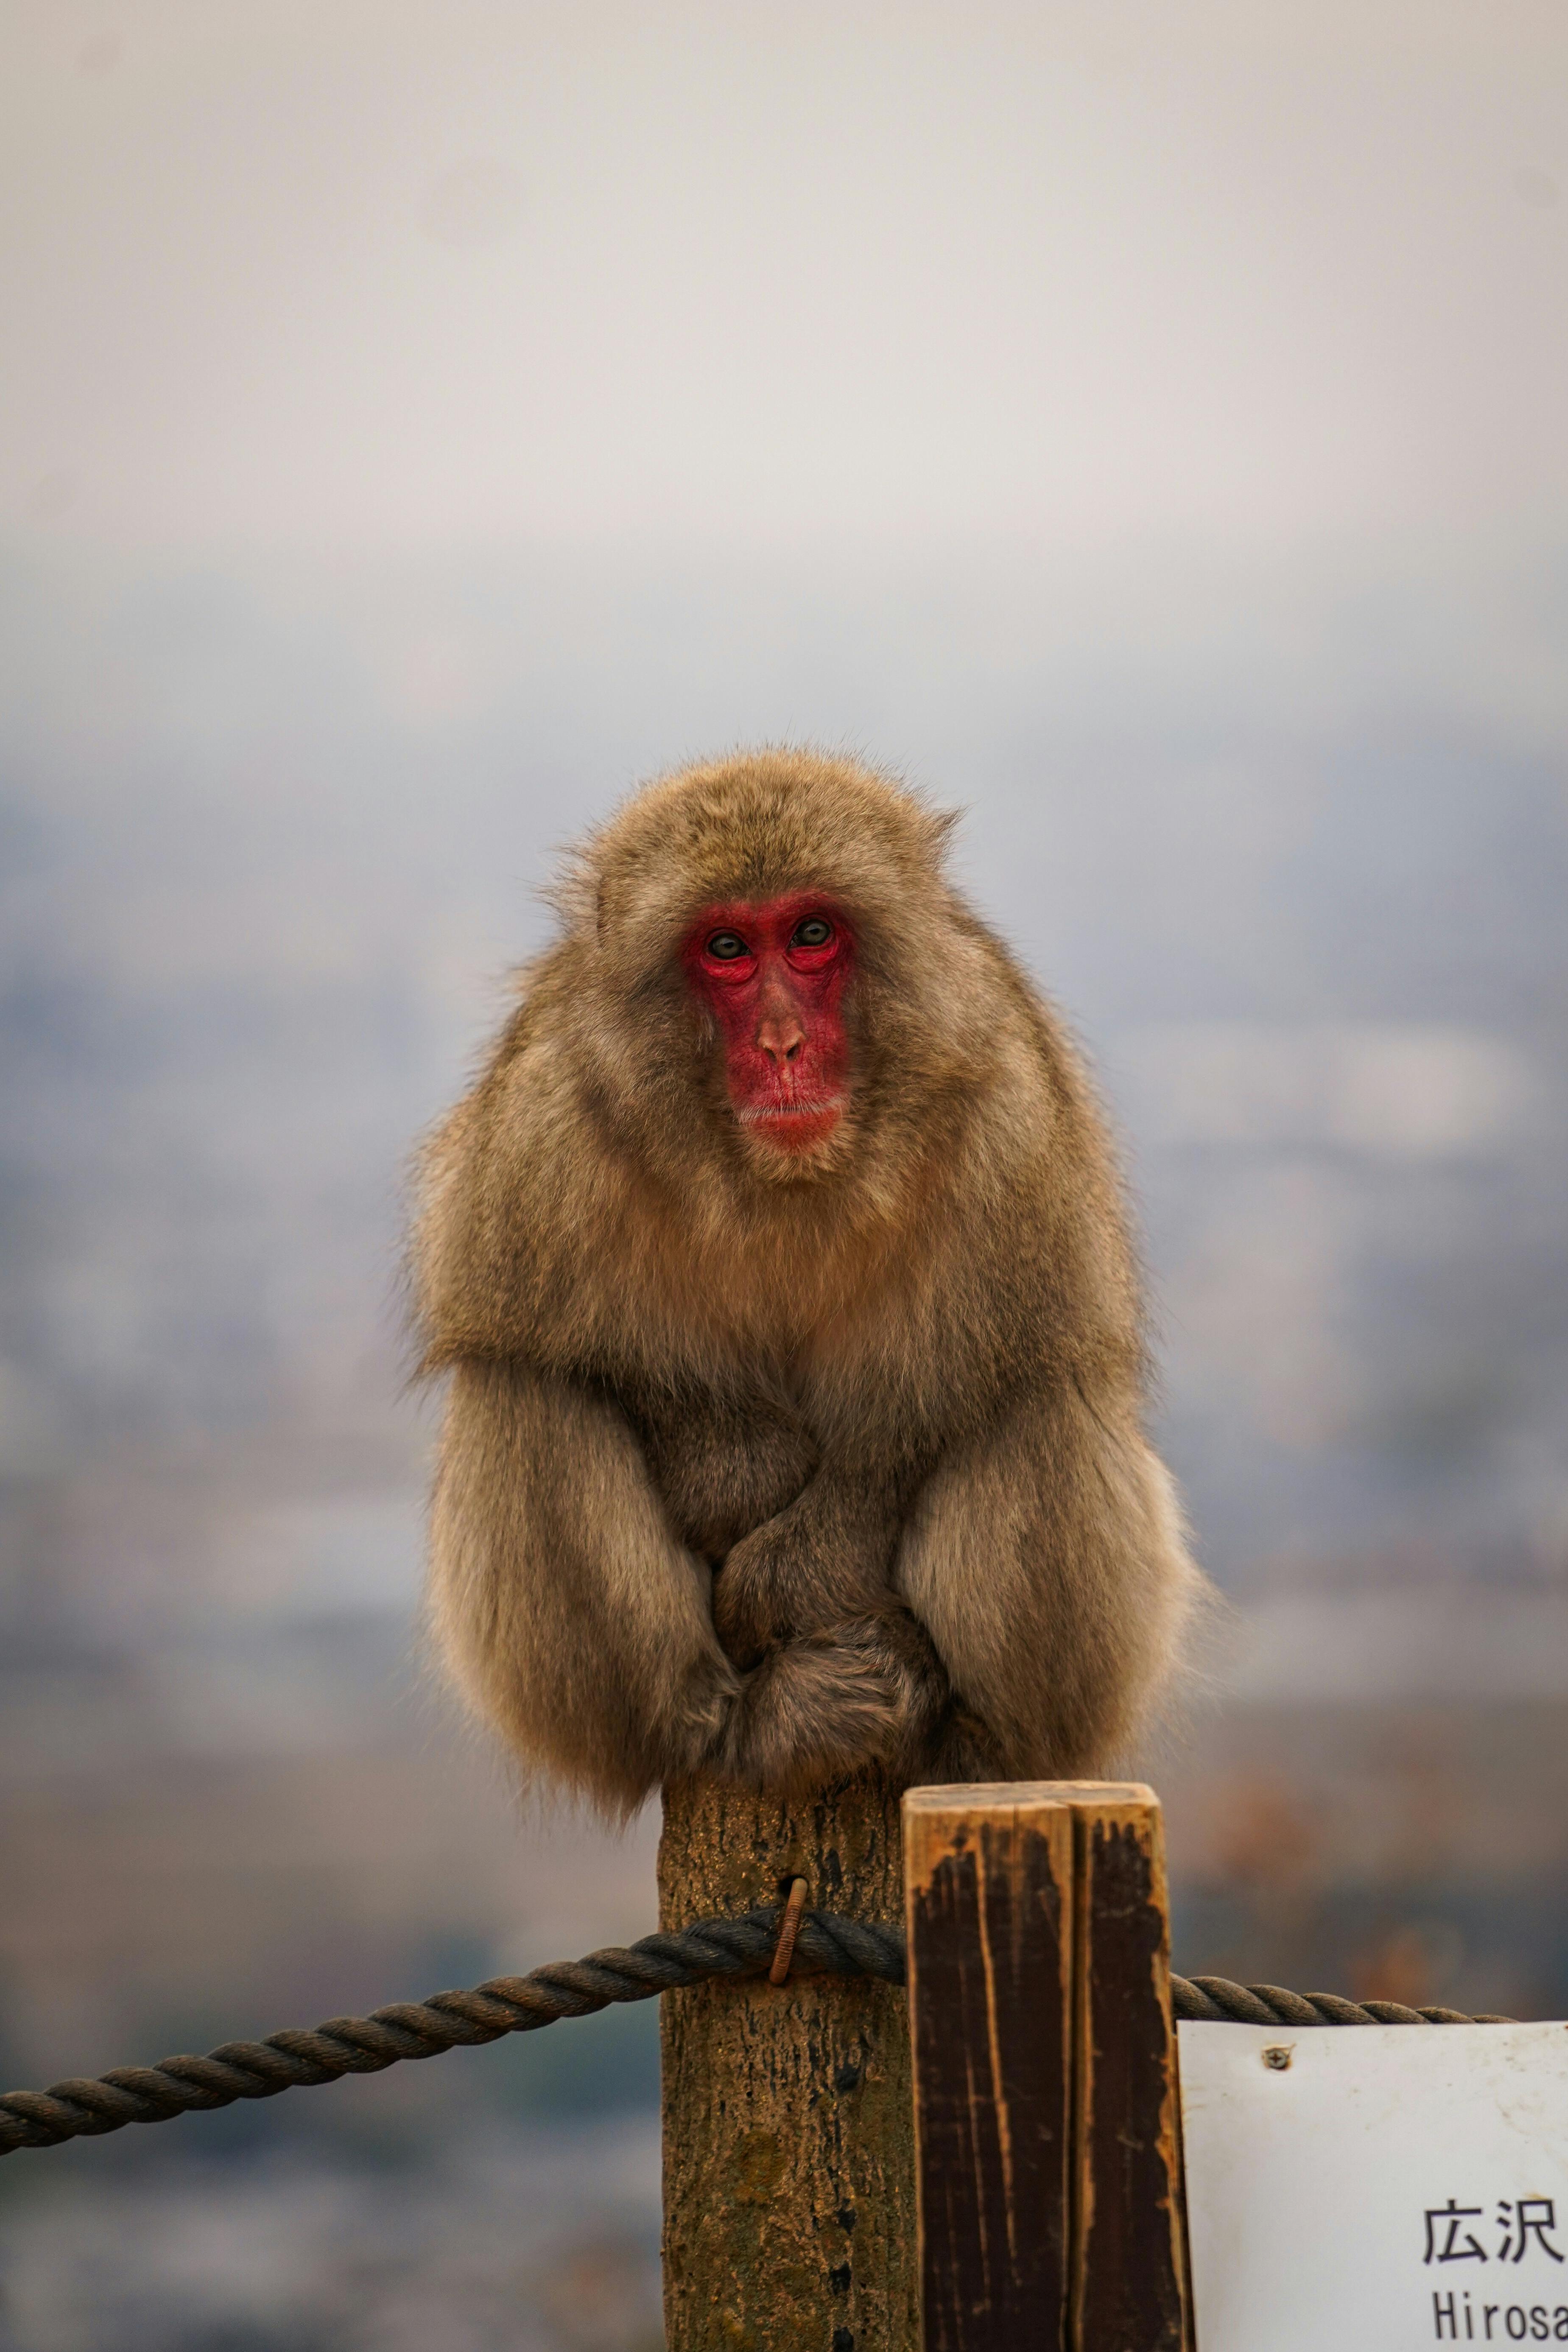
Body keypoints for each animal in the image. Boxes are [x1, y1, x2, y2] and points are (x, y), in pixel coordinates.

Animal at [412, 748, 1200, 1815]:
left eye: (813, 935)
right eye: (728, 949)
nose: (783, 1045)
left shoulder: (1009, 1106)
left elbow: (948, 1393)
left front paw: (787, 1577)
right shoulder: (547, 1115)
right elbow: (546, 1338)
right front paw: (741, 1473)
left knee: (1043, 1398)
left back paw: (961, 1737)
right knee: (521, 1394)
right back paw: (730, 1727)